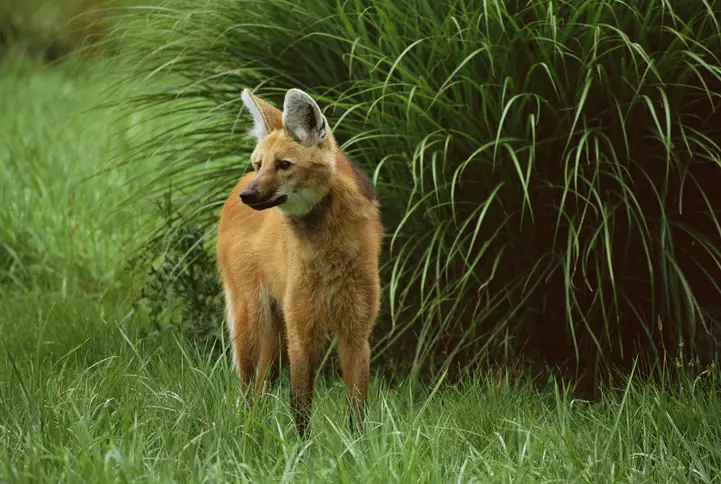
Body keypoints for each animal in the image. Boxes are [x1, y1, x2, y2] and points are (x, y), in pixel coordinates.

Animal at [215, 88, 380, 438]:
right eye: (260, 163)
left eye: (284, 165)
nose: (249, 195)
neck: (331, 249)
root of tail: (236, 186)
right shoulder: (302, 331)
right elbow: (301, 406)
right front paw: (302, 450)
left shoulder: (357, 332)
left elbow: (357, 409)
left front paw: (357, 447)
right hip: (253, 320)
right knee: (247, 388)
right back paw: (245, 434)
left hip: (276, 335)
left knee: (262, 388)